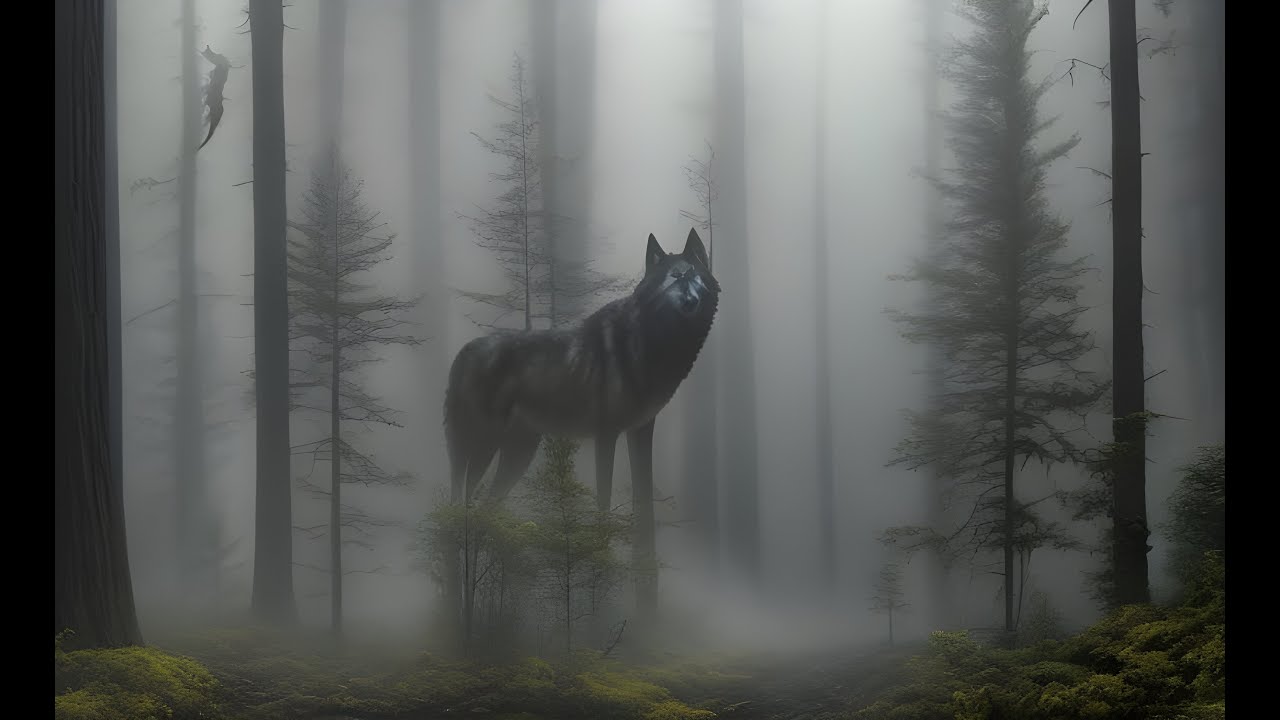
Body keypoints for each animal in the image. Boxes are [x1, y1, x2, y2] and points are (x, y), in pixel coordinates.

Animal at [443, 227, 720, 514]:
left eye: (694, 276)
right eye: (673, 278)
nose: (690, 301)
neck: (649, 342)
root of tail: (464, 351)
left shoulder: (641, 431)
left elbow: (644, 501)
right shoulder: (606, 434)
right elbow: (604, 500)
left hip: (518, 452)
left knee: (487, 500)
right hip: (485, 443)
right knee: (466, 492)